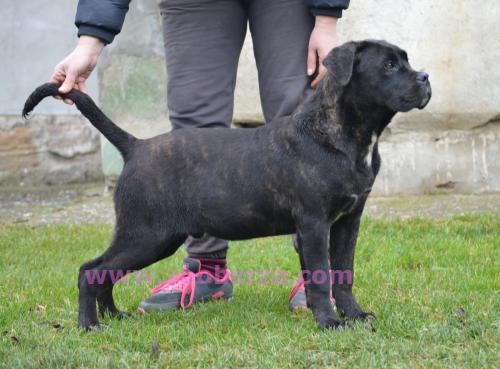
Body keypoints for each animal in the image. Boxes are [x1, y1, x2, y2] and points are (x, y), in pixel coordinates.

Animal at [23, 39, 430, 328]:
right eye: (389, 65)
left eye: (407, 60)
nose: (425, 78)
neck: (348, 133)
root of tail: (135, 146)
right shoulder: (315, 224)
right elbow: (320, 276)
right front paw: (329, 322)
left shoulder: (348, 221)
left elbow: (343, 273)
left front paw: (354, 315)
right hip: (145, 234)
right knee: (90, 270)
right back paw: (89, 325)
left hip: (150, 238)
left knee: (105, 273)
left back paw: (114, 316)